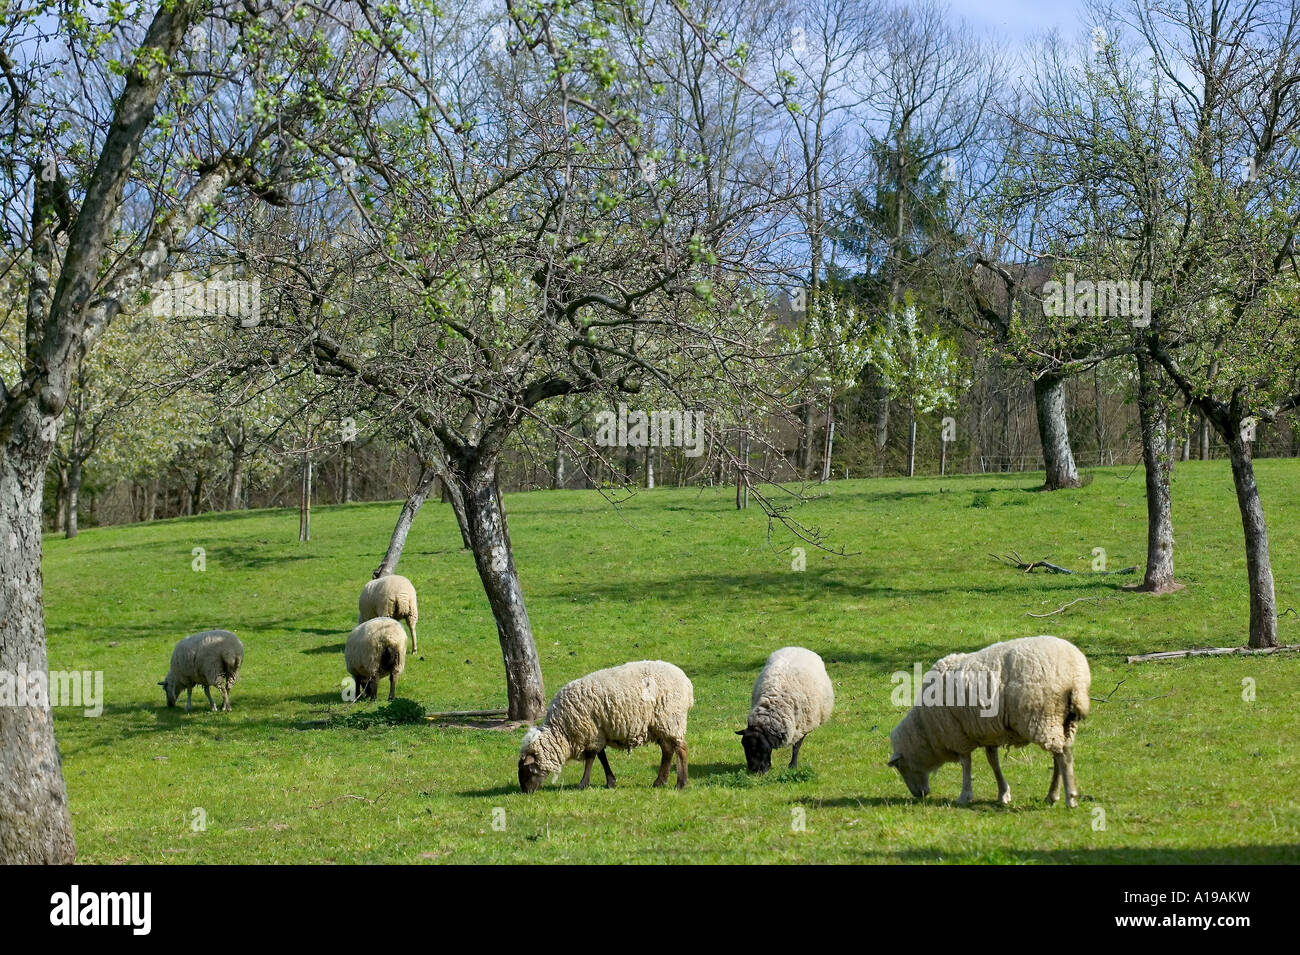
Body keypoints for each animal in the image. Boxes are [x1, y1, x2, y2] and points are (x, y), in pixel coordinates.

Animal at [518, 660, 694, 793]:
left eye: (527, 769)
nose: (525, 791)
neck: (562, 730)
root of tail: (687, 683)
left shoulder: (590, 733)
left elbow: (591, 758)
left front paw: (583, 784)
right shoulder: (598, 732)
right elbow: (601, 757)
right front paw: (610, 781)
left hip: (671, 720)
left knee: (681, 749)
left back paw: (681, 783)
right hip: (660, 725)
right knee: (667, 751)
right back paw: (659, 781)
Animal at [888, 635, 1091, 807]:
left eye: (901, 767)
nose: (919, 795)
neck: (926, 730)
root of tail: (1075, 676)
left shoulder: (958, 735)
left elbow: (966, 764)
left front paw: (965, 795)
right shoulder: (987, 731)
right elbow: (993, 762)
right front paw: (1003, 793)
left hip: (1043, 716)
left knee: (1063, 755)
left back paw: (1070, 798)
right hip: (1064, 721)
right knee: (1060, 754)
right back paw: (1052, 795)